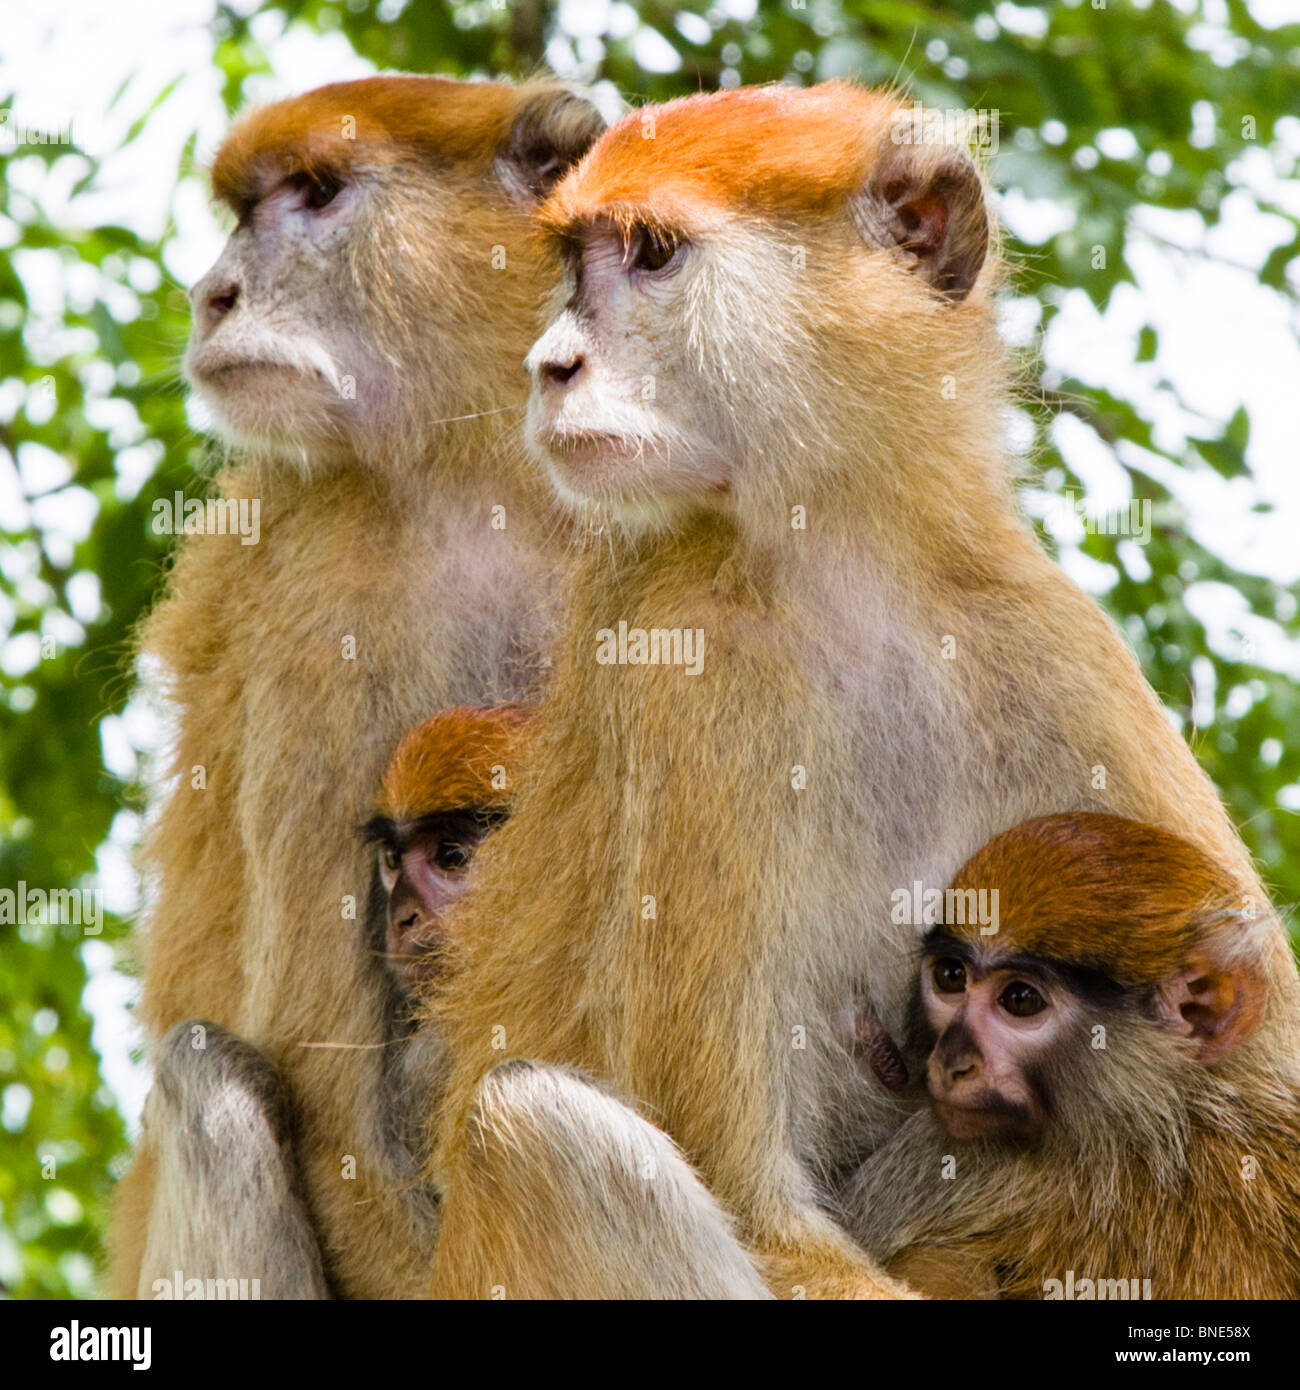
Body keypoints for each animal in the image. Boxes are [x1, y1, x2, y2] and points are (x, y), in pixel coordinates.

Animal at [110, 74, 606, 1299]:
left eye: (316, 193)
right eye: (246, 209)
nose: (212, 294)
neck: (482, 467)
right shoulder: (325, 591)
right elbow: (323, 1082)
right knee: (211, 1079)